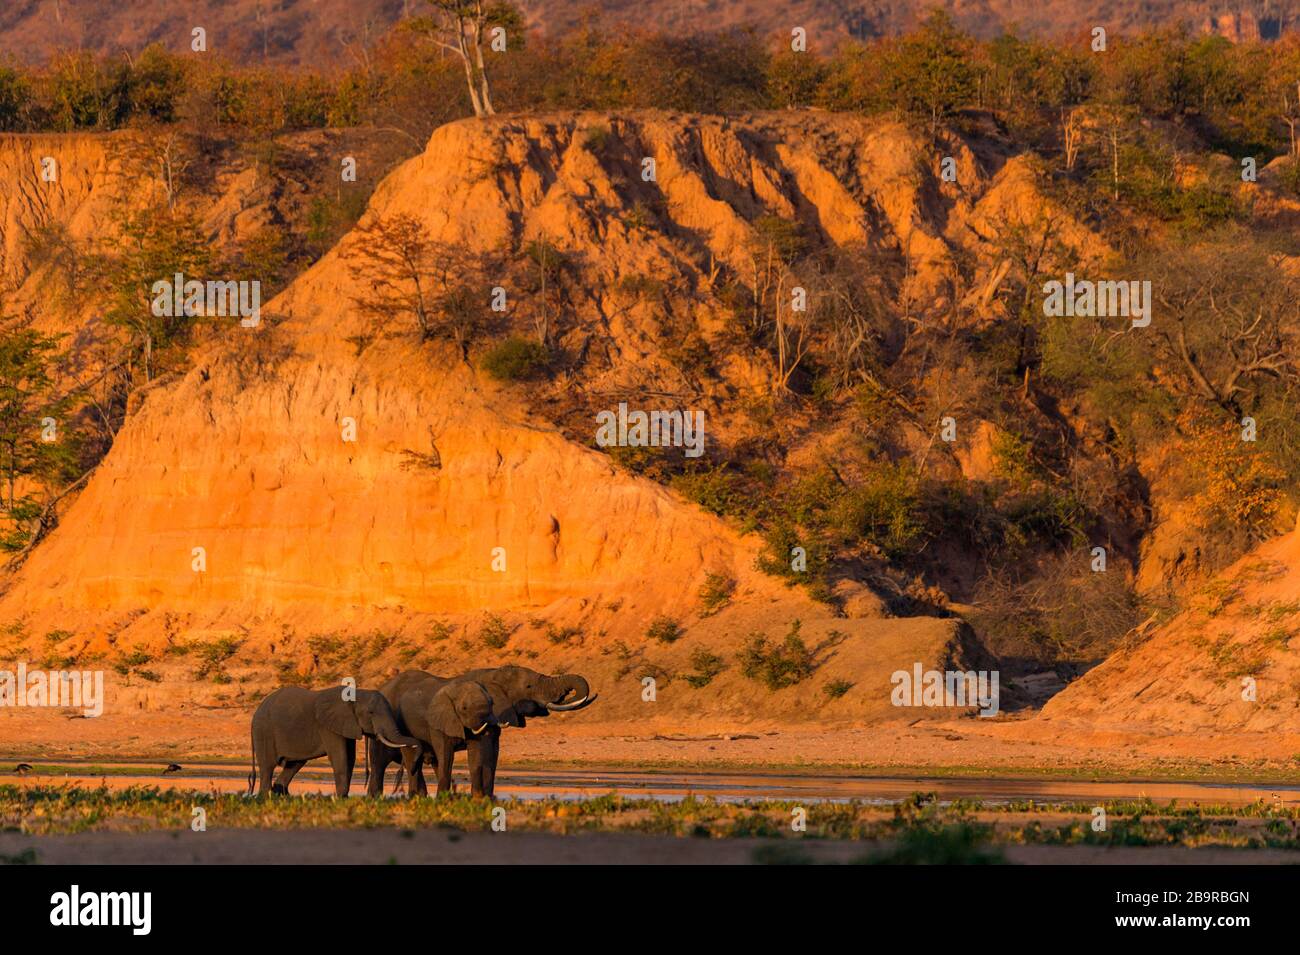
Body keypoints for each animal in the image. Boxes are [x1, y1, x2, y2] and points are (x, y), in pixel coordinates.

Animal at [248, 685, 420, 797]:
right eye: (371, 712)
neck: (355, 694)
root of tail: (256, 711)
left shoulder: (347, 725)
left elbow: (349, 759)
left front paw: (343, 797)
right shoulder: (328, 727)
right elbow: (340, 758)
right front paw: (341, 797)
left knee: (294, 764)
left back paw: (280, 794)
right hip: (263, 731)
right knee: (268, 766)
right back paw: (265, 796)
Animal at [366, 665, 596, 799]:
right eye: (529, 686)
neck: (492, 673)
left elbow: (487, 754)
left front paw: (485, 799)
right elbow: (457, 755)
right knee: (384, 762)